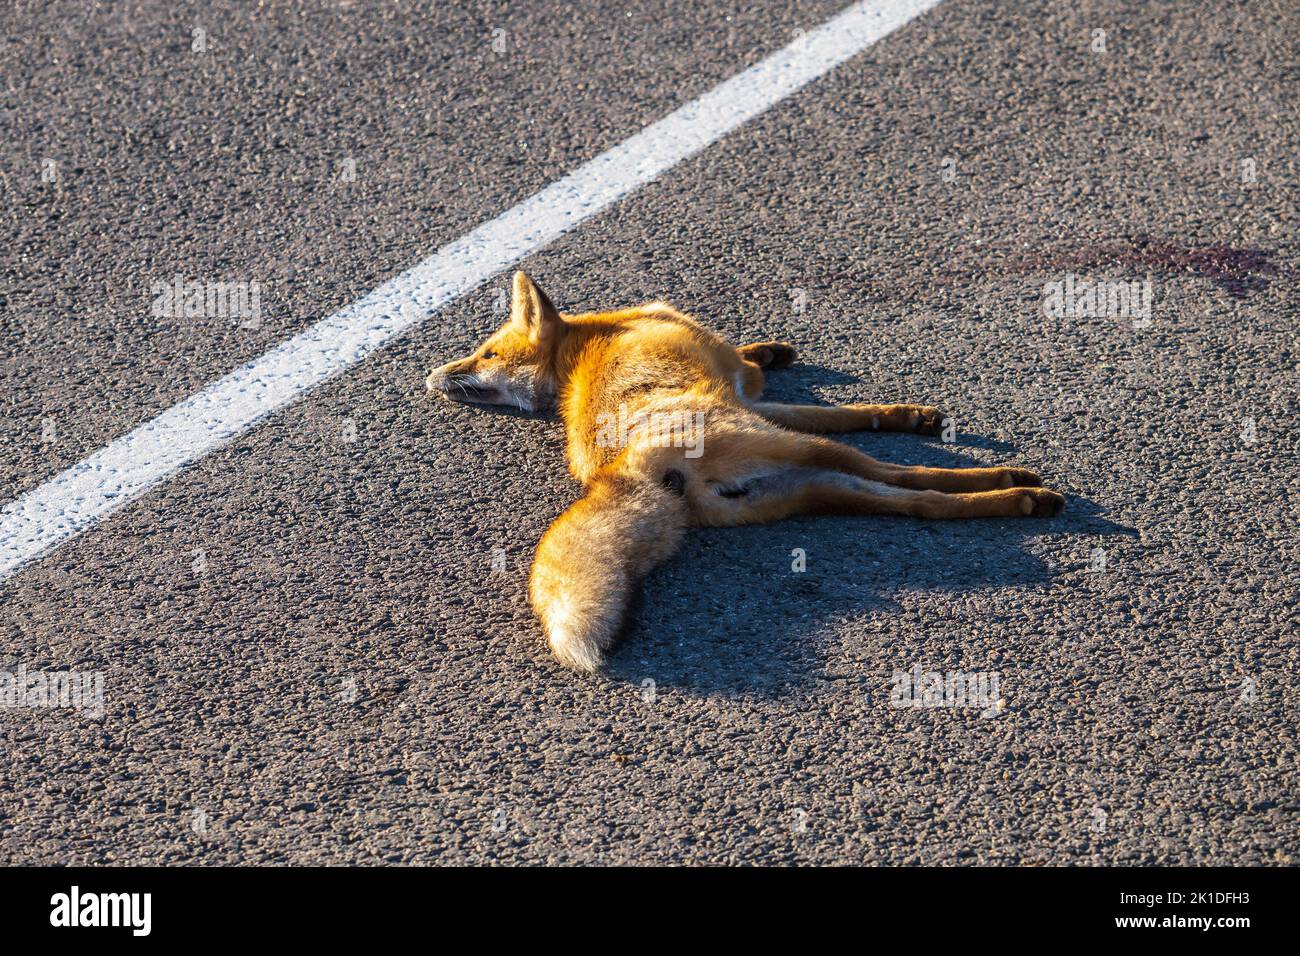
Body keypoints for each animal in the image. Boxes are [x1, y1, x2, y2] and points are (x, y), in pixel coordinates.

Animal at [426, 272, 1064, 673]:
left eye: (485, 353)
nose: (432, 375)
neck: (595, 334)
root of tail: (620, 469)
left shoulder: (756, 401)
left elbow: (847, 409)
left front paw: (900, 411)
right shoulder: (749, 394)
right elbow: (821, 402)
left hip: (805, 485)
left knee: (917, 504)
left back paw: (1019, 500)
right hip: (809, 456)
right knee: (907, 477)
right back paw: (1017, 485)